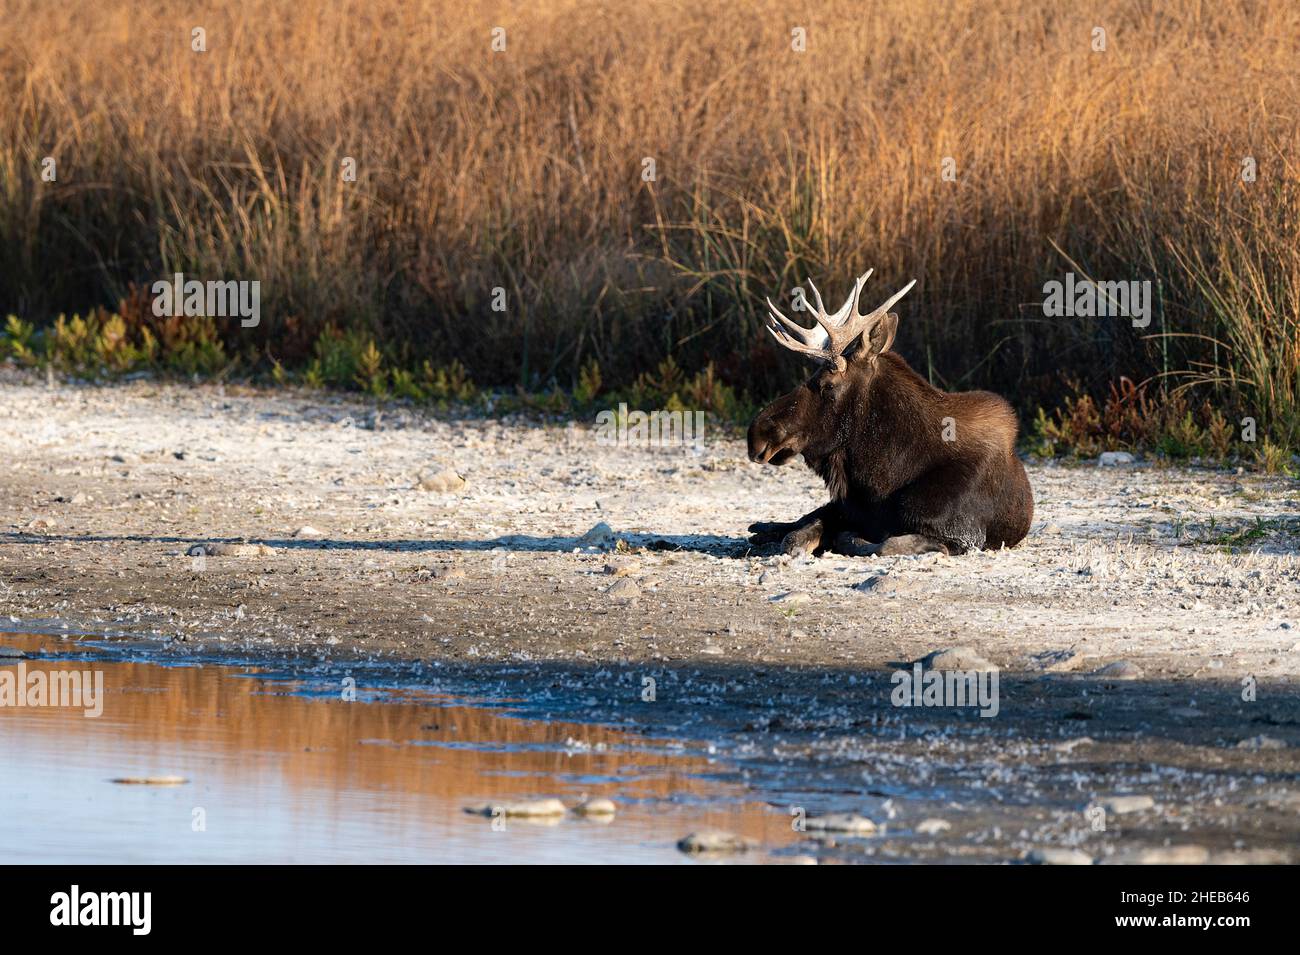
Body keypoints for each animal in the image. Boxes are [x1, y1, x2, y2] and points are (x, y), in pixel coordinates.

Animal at [746, 270, 1033, 557]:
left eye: (827, 385)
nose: (756, 434)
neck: (885, 477)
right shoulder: (846, 509)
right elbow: (797, 535)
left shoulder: (960, 537)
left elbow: (878, 543)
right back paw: (761, 527)